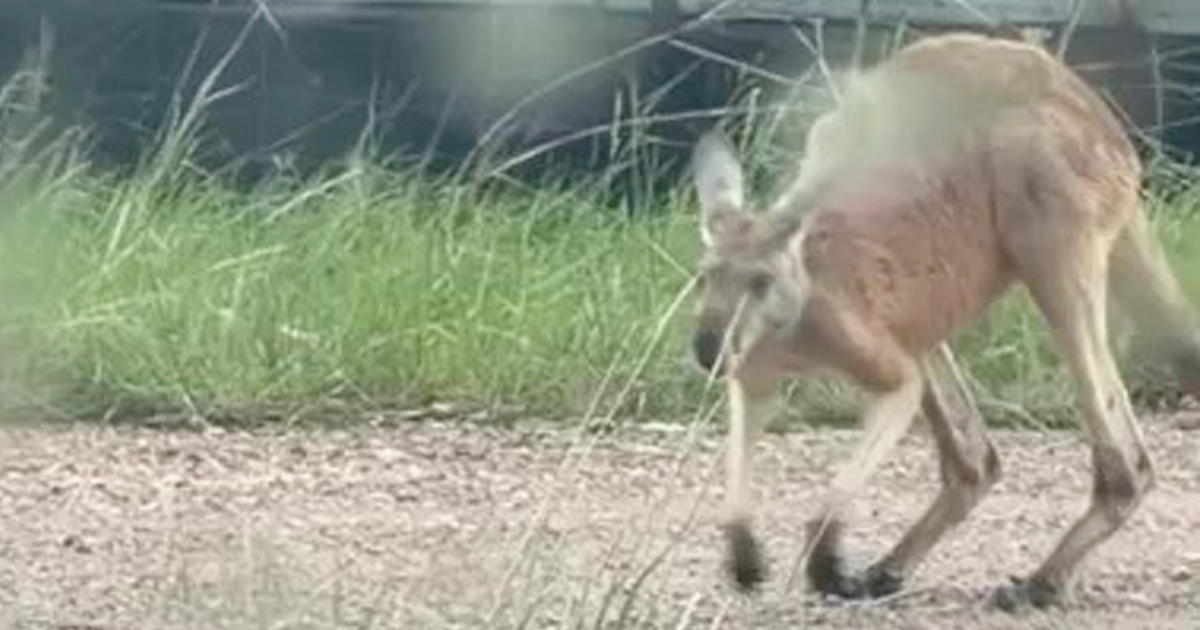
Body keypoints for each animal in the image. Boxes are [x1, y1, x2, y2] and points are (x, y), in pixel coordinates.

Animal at [688, 32, 1200, 611]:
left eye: (760, 282)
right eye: (704, 277)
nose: (706, 349)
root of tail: (1109, 129)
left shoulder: (868, 350)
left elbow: (893, 401)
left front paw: (823, 557)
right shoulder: (754, 374)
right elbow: (742, 436)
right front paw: (744, 555)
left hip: (1050, 220)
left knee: (1122, 458)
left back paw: (1039, 582)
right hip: (935, 299)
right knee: (976, 461)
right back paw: (886, 571)